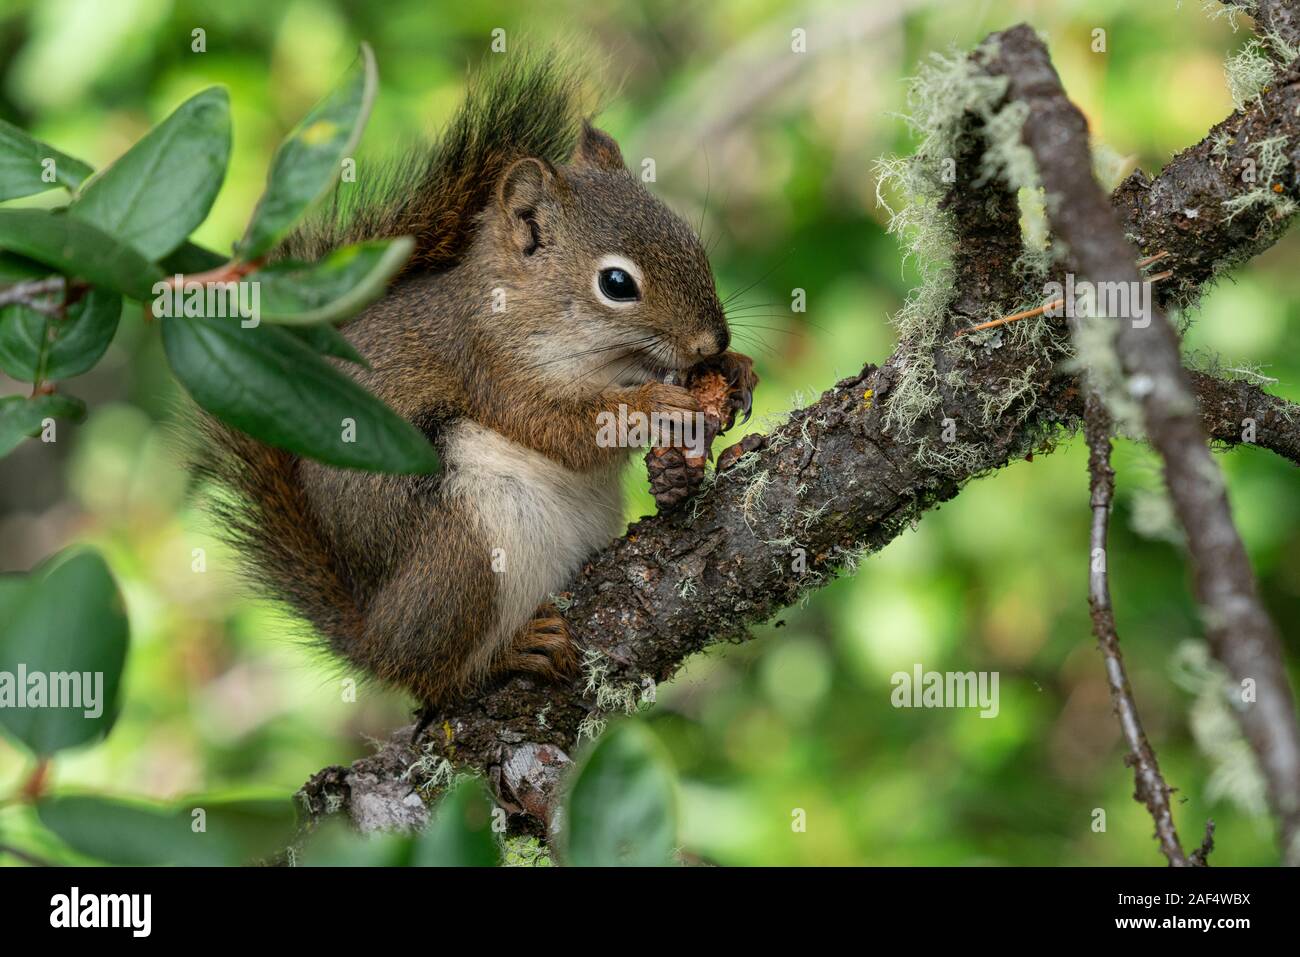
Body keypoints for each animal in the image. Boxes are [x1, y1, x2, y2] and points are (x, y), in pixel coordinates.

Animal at [196, 55, 757, 709]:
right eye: (617, 284)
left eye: (689, 238)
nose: (710, 342)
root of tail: (370, 635)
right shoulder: (491, 370)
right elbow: (564, 432)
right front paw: (651, 405)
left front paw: (736, 371)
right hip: (464, 549)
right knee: (431, 673)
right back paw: (507, 654)